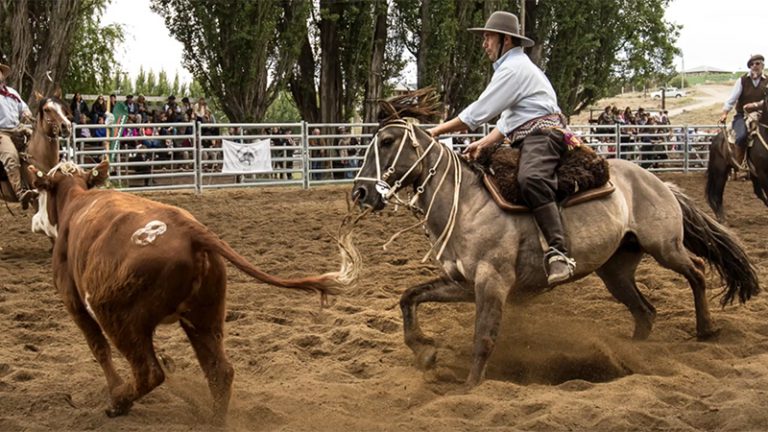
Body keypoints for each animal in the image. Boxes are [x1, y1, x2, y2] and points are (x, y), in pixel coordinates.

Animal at [350, 94, 759, 388]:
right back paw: (629, 354)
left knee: (698, 271)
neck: (465, 201)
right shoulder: (464, 283)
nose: (359, 192)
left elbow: (483, 338)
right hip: (617, 270)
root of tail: (659, 182)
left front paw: (468, 387)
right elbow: (410, 296)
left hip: (665, 247)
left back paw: (706, 329)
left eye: (387, 141)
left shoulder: (493, 282)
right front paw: (424, 353)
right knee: (645, 311)